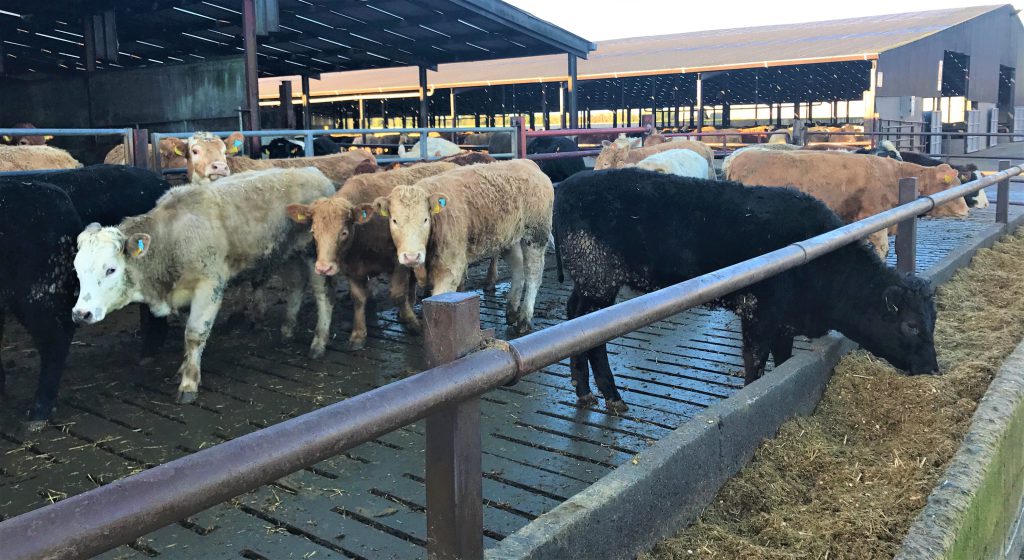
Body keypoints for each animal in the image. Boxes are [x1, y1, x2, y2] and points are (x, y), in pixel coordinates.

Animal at [72, 167, 336, 404]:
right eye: (77, 269)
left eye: (110, 269)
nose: (80, 313)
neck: (172, 237)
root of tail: (314, 172)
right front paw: (184, 368)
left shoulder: (209, 286)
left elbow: (194, 333)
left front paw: (189, 383)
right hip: (285, 254)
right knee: (296, 284)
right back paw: (287, 329)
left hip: (313, 255)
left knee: (323, 294)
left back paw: (318, 342)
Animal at [286, 161, 461, 349]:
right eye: (313, 232)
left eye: (344, 233)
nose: (324, 268)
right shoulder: (353, 270)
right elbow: (358, 300)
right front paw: (358, 334)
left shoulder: (398, 261)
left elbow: (398, 294)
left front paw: (411, 321)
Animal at [368, 159, 554, 333]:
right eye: (394, 220)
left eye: (425, 219)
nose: (412, 256)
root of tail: (527, 163)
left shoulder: (449, 269)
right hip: (510, 239)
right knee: (518, 268)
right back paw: (512, 311)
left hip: (535, 236)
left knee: (533, 274)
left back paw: (524, 319)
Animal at [554, 168, 940, 413]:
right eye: (910, 326)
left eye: (933, 322)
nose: (933, 369)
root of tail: (569, 186)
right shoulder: (758, 314)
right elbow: (755, 366)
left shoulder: (785, 322)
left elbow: (783, 363)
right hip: (600, 281)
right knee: (592, 337)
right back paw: (612, 396)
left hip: (589, 283)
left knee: (574, 319)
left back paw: (583, 390)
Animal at [725, 149, 968, 258]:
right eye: (952, 184)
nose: (967, 211)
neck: (895, 176)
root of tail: (737, 155)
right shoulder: (872, 219)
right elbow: (882, 250)